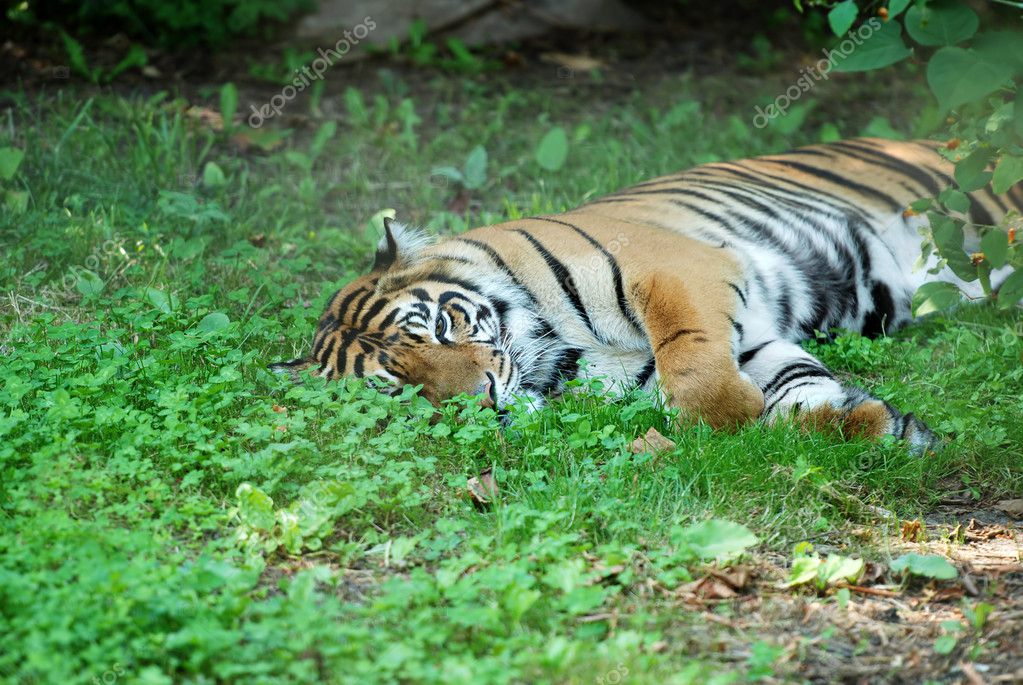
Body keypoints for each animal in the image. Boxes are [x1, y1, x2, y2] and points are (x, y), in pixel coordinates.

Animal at [271, 138, 1023, 453]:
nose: (482, 397)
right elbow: (796, 388)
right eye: (398, 390)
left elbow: (693, 368)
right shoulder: (750, 337)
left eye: (443, 327)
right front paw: (876, 426)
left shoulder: (672, 267)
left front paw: (732, 416)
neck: (551, 352)